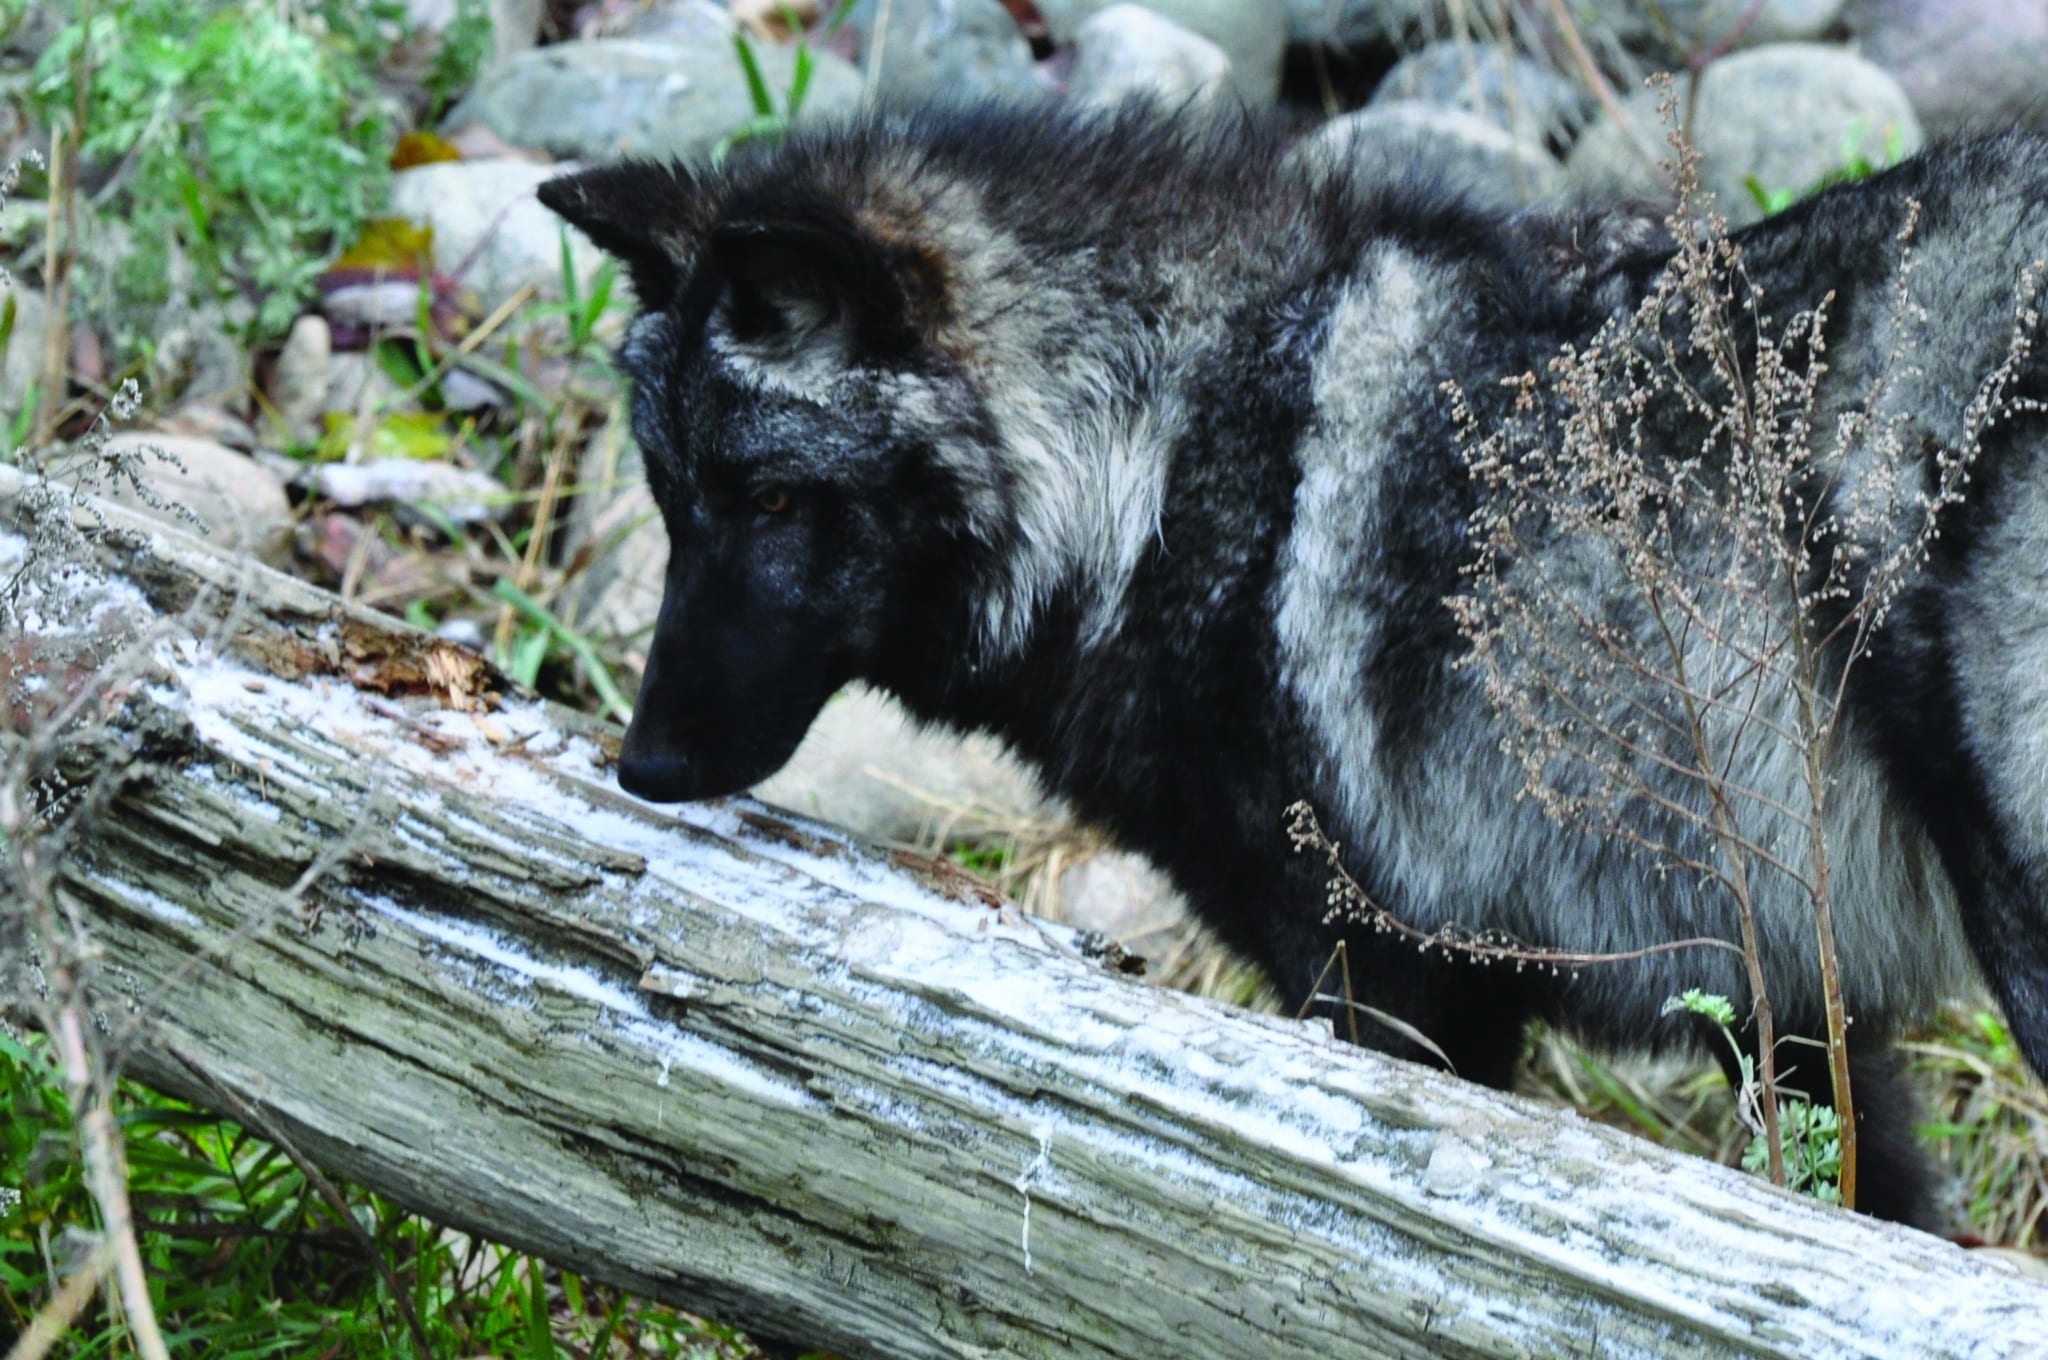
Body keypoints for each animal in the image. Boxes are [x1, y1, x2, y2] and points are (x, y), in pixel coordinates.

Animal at [540, 104, 2048, 1227]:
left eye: (774, 501)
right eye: (672, 502)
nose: (643, 764)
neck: (1150, 460)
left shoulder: (1380, 993)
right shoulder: (1790, 1011)